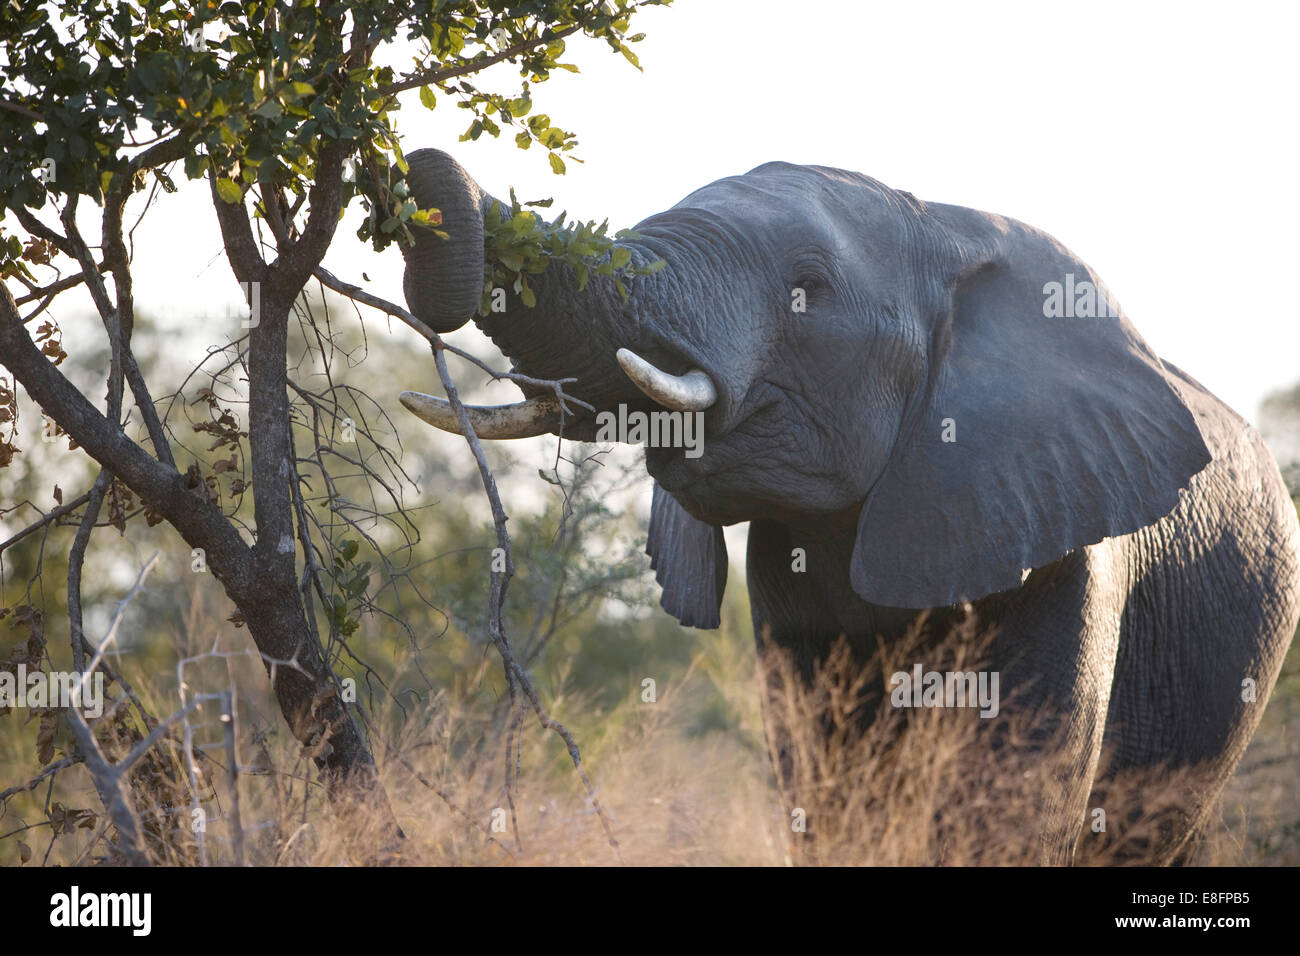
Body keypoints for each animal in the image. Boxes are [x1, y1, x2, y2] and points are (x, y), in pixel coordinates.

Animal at [394, 148, 1300, 864]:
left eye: (809, 289)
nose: (421, 165)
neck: (944, 228)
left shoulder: (1067, 539)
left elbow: (1013, 800)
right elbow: (825, 787)